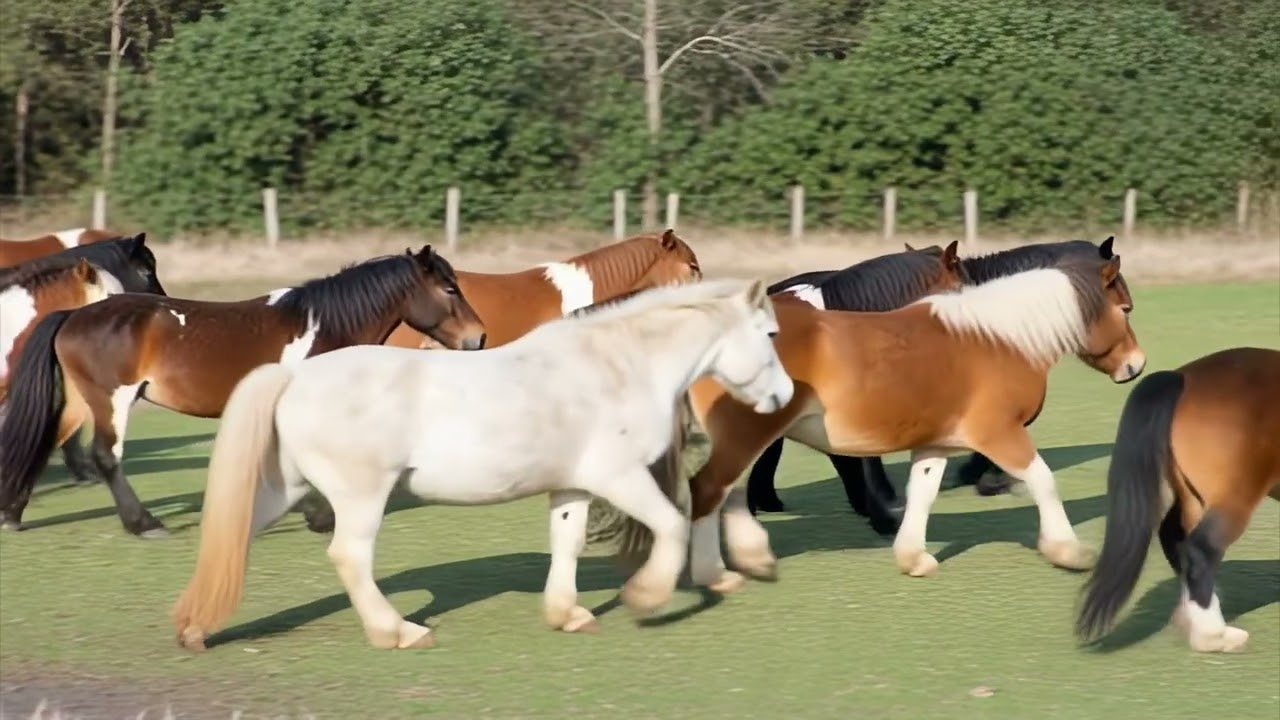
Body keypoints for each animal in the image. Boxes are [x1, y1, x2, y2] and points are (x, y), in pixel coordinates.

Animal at [169, 278, 793, 652]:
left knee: (235, 536)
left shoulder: (573, 488)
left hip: (285, 489)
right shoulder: (618, 476)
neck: (618, 364)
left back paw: (196, 626)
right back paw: (396, 631)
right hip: (361, 496)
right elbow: (670, 525)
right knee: (349, 556)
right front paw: (648, 598)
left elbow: (566, 543)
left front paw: (567, 614)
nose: (784, 396)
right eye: (769, 333)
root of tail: (294, 376)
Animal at [1076, 347, 1280, 653]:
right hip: (1232, 497)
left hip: (1191, 495)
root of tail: (1182, 377)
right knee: (1200, 550)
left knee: (1174, 538)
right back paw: (1214, 636)